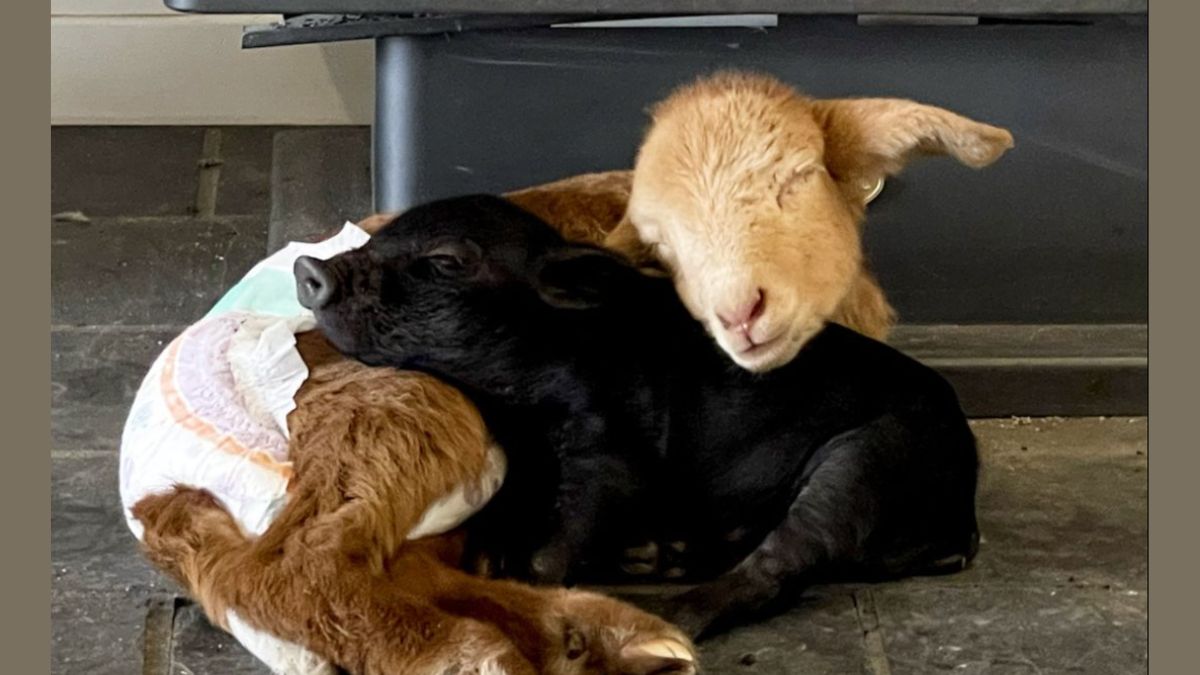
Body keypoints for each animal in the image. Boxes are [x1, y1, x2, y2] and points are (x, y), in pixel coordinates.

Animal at [295, 193, 981, 640]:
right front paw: (488, 560)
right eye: (376, 239)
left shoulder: (611, 448)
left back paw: (665, 617)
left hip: (870, 461)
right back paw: (654, 557)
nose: (310, 267)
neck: (521, 401)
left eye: (444, 262)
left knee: (782, 565)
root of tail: (960, 521)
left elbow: (561, 541)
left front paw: (534, 587)